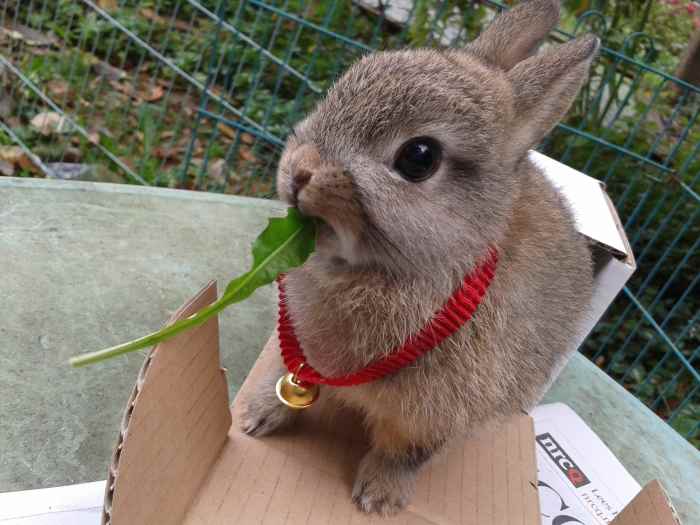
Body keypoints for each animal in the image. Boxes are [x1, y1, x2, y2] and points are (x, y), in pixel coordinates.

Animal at [239, 0, 597, 516]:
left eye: (419, 157)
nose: (301, 171)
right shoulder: (297, 350)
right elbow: (282, 376)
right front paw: (255, 417)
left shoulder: (433, 419)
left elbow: (406, 454)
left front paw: (378, 498)